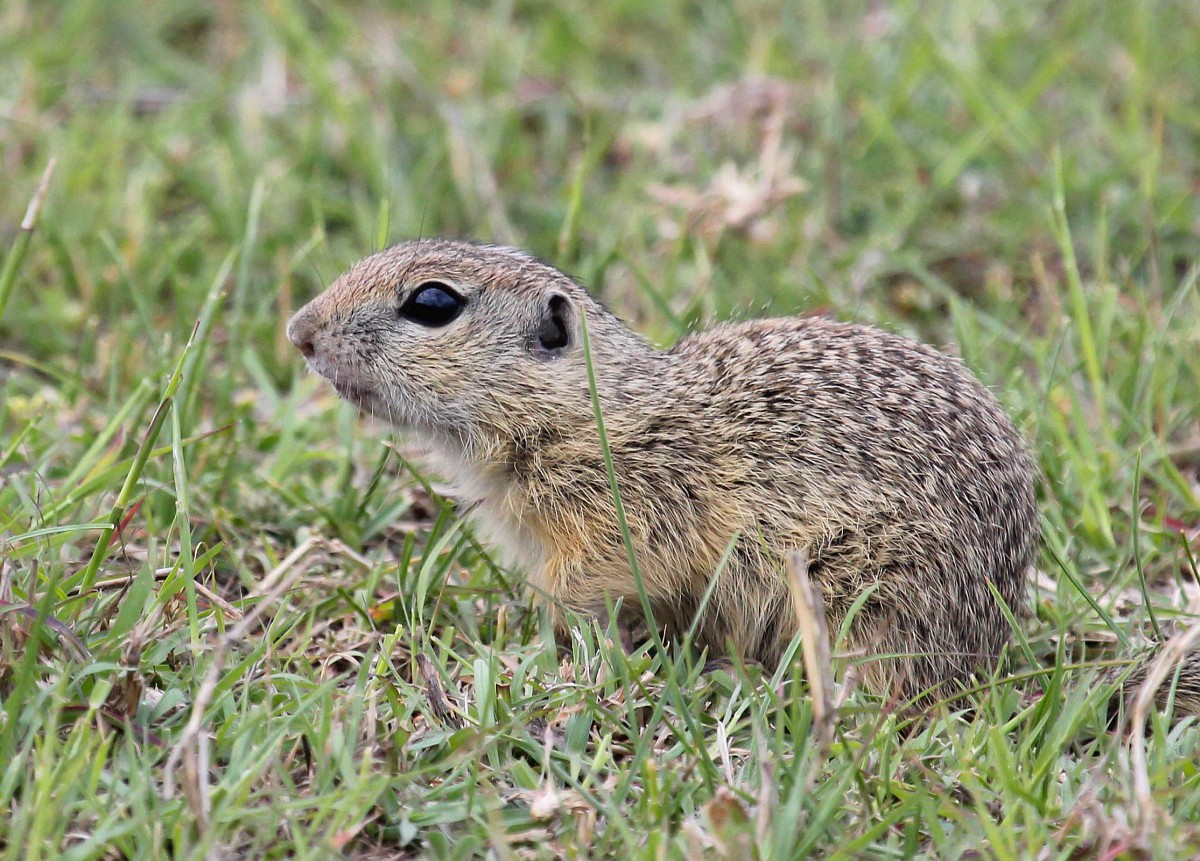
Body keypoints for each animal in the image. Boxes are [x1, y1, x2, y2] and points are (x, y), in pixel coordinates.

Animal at [287, 238, 1199, 715]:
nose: (298, 331)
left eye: (433, 303)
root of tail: (993, 659)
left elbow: (584, 594)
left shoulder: (622, 522)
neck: (587, 409)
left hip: (858, 590)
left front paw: (535, 662)